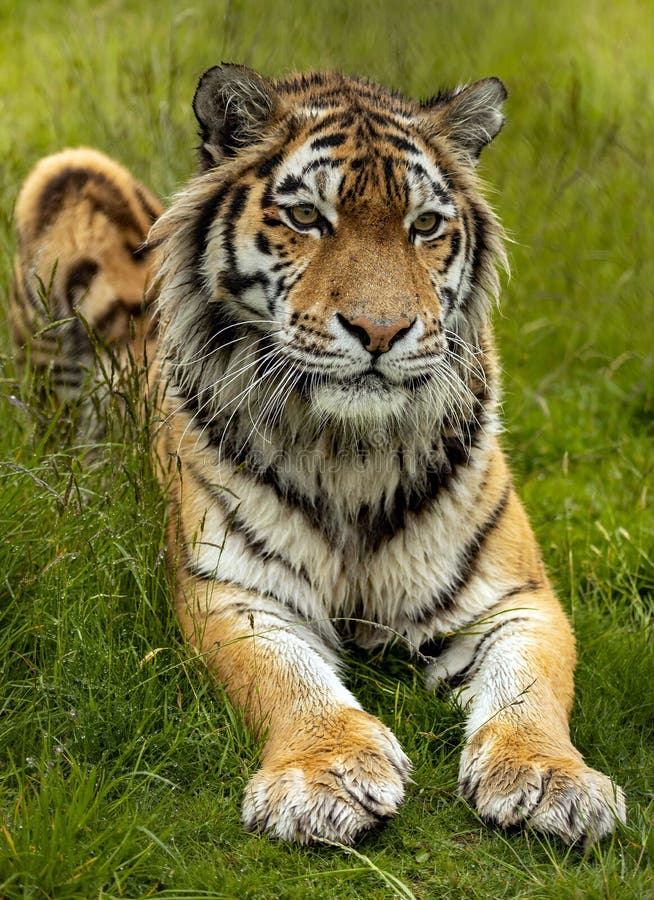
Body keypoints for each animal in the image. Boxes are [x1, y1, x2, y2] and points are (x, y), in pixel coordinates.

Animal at [11, 64, 626, 846]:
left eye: (425, 225)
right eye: (306, 217)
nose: (381, 329)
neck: (352, 451)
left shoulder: (513, 598)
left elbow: (532, 689)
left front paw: (552, 777)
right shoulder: (234, 590)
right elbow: (287, 680)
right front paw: (326, 774)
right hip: (62, 185)